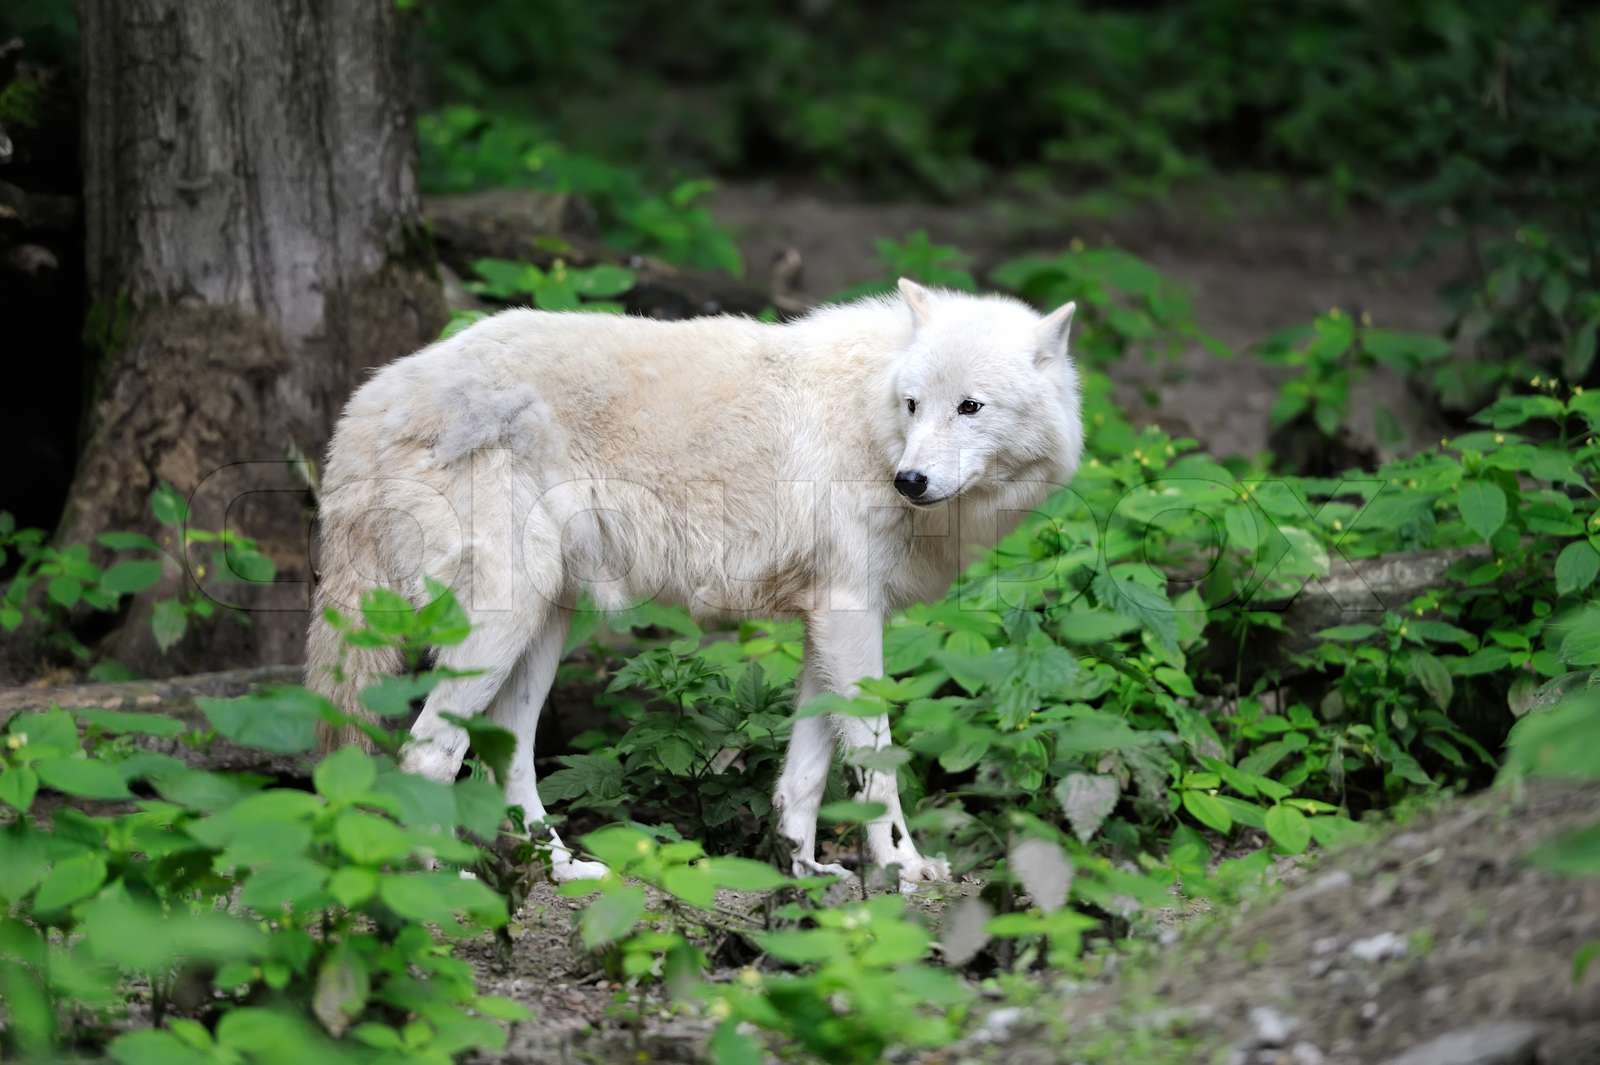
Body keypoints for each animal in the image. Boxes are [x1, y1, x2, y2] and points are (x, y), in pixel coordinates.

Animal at [306, 278, 1083, 891]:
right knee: (426, 753)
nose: (911, 481)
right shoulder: (850, 614)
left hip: (542, 627)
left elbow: (805, 772)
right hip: (500, 625)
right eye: (916, 404)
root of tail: (366, 403)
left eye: (970, 407)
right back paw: (444, 885)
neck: (870, 417)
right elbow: (876, 761)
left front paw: (803, 868)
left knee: (507, 758)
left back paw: (562, 868)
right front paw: (902, 867)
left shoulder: (828, 623)